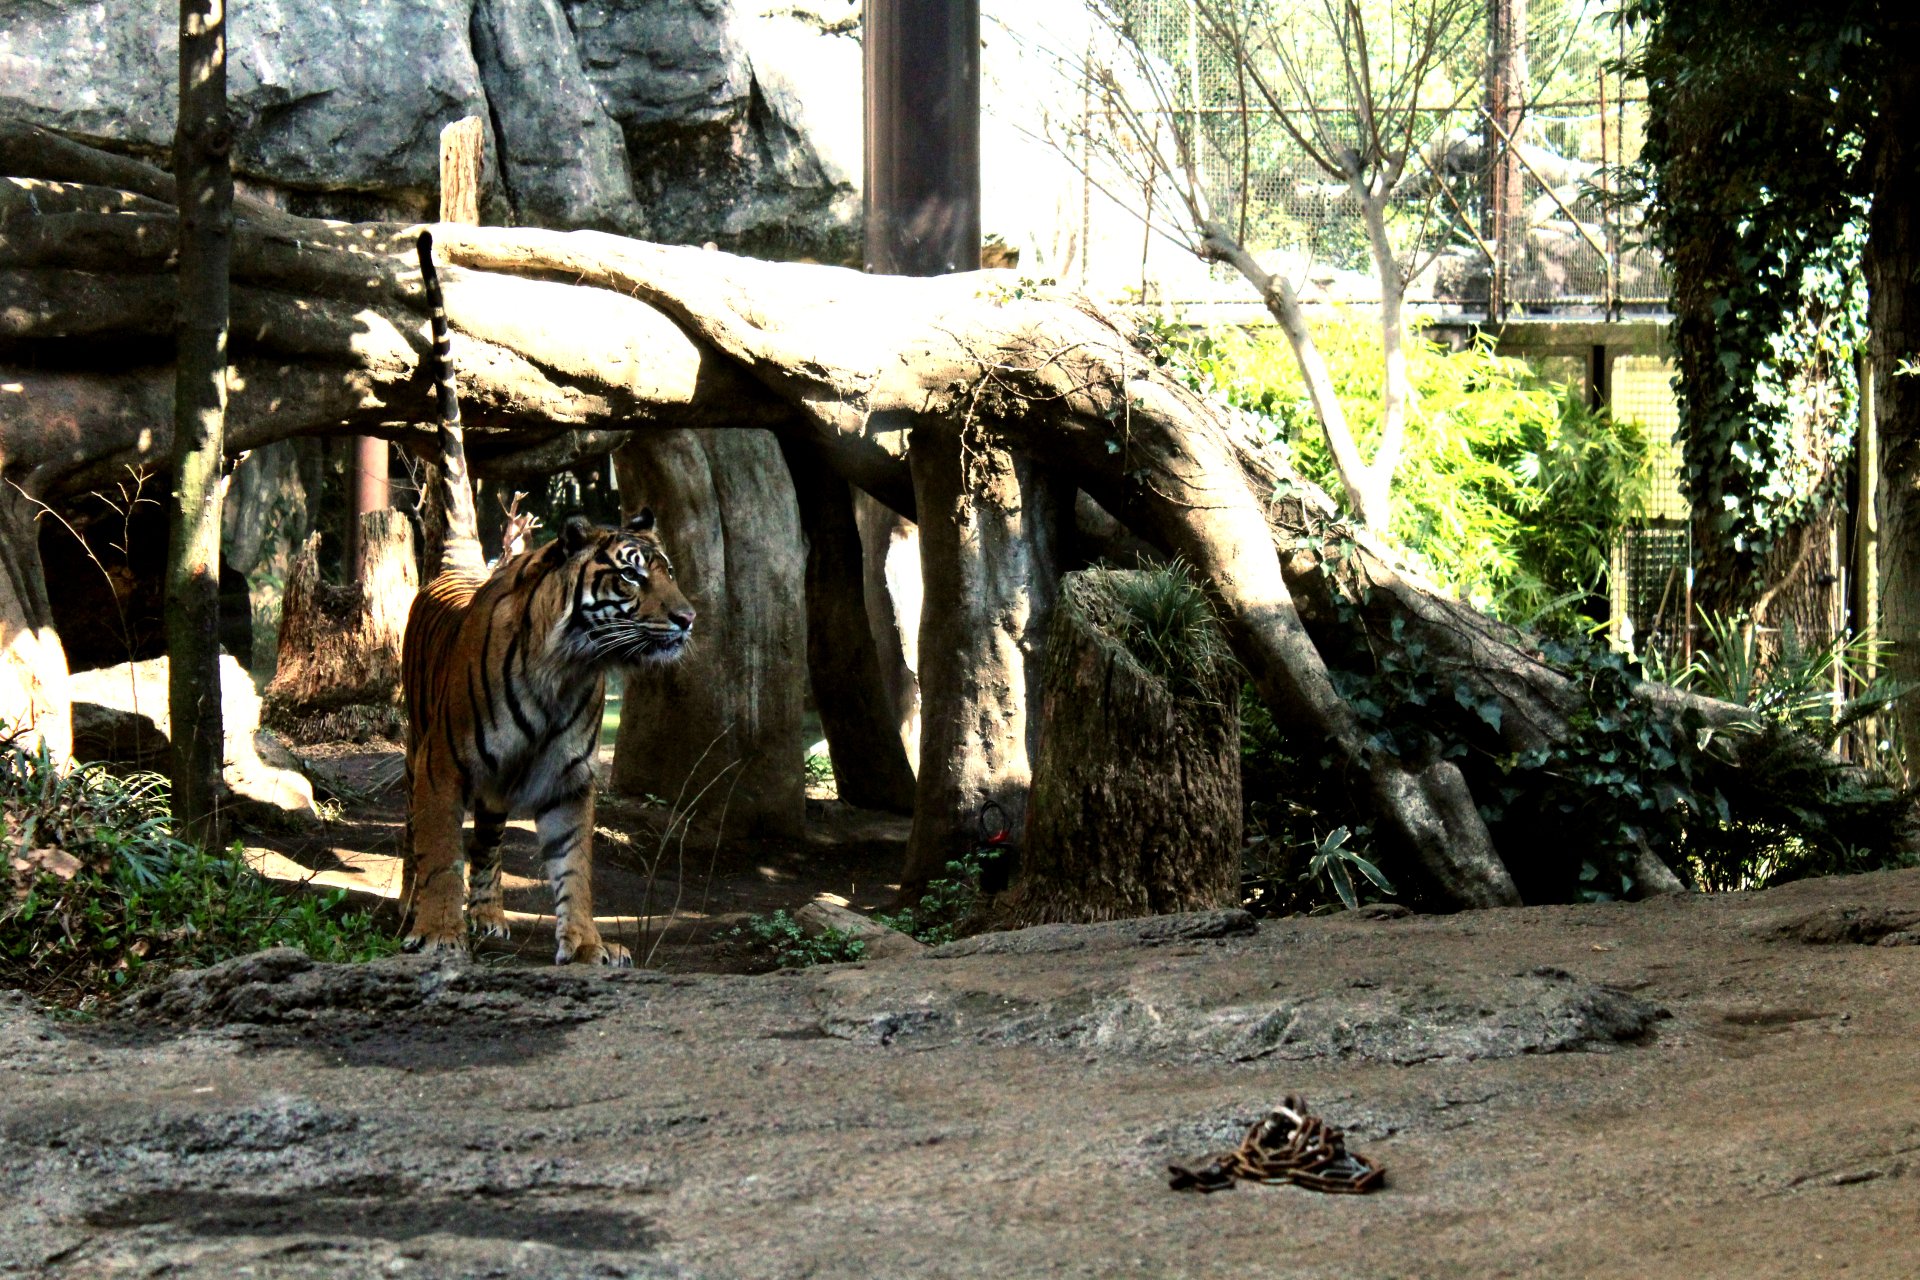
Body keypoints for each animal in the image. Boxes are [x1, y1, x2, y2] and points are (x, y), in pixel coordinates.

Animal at [400, 229, 695, 965]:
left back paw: (491, 915)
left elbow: (574, 866)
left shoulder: (569, 782)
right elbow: (439, 850)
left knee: (489, 842)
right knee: (417, 839)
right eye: (632, 576)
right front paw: (439, 934)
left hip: (495, 789)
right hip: (417, 738)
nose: (687, 619)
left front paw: (587, 945)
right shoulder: (442, 764)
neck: (569, 671)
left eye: (669, 573)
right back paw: (412, 911)